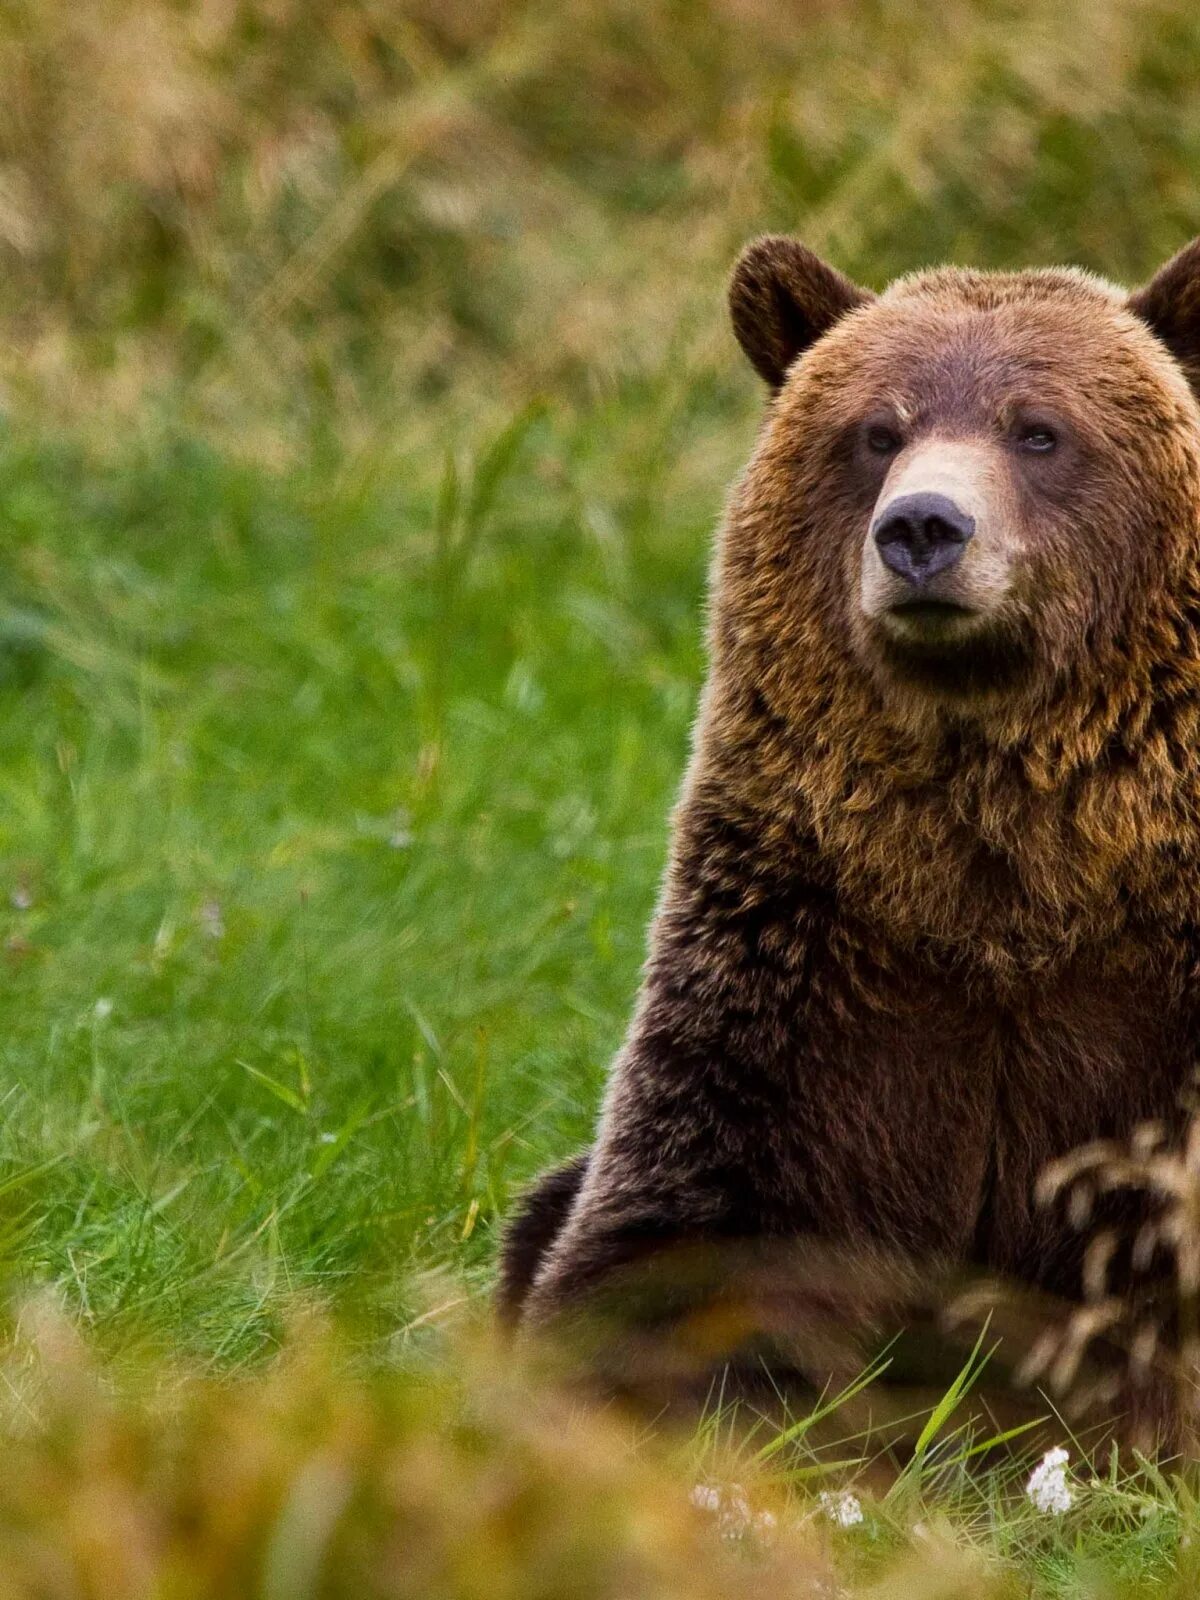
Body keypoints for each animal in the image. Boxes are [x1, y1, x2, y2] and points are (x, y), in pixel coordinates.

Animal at [499, 233, 1200, 1432]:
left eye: (1039, 429)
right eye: (878, 429)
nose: (923, 527)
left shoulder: (1153, 1003)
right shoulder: (807, 961)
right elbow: (682, 1242)